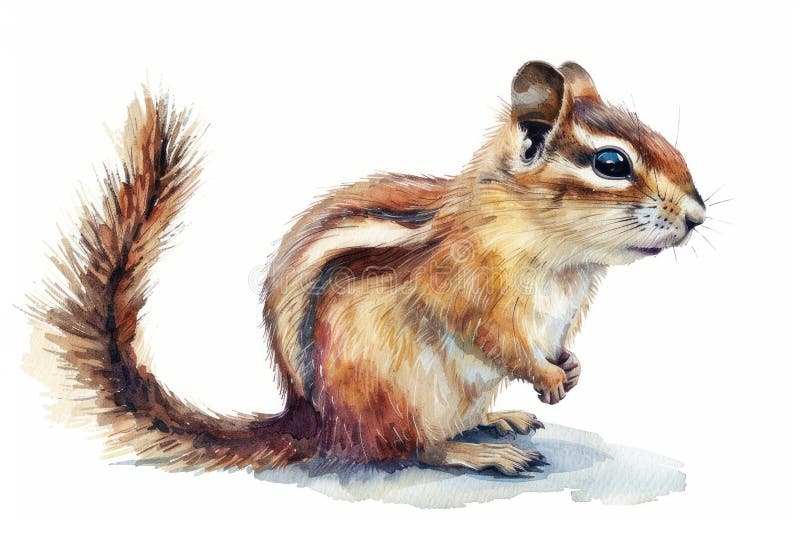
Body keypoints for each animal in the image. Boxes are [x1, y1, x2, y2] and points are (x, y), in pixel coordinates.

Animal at [28, 60, 705, 476]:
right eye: (612, 163)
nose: (698, 216)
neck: (563, 258)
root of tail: (318, 422)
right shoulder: (467, 287)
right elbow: (496, 339)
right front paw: (547, 375)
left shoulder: (564, 312)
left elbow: (557, 342)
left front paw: (570, 367)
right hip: (401, 392)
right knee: (407, 450)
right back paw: (477, 454)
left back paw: (498, 421)